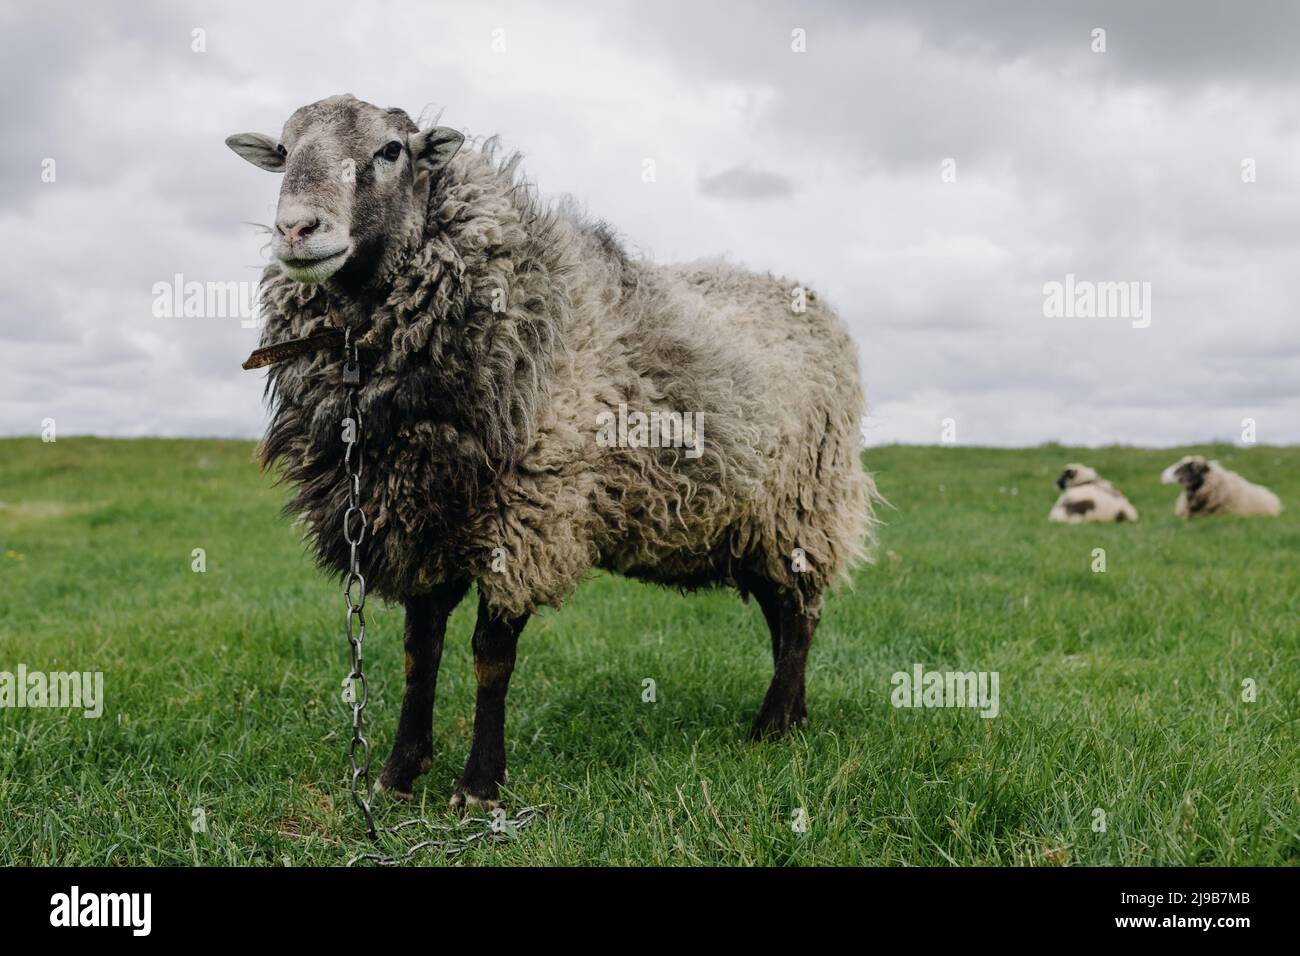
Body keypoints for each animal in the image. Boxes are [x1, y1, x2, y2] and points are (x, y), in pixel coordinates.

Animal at [226, 94, 878, 807]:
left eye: (390, 150)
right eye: (283, 152)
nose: (296, 229)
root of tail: (808, 298)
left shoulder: (527, 516)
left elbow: (491, 655)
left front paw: (479, 787)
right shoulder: (419, 512)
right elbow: (419, 650)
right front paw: (398, 774)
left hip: (803, 507)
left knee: (803, 613)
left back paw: (773, 726)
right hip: (746, 520)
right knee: (781, 613)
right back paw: (793, 716)